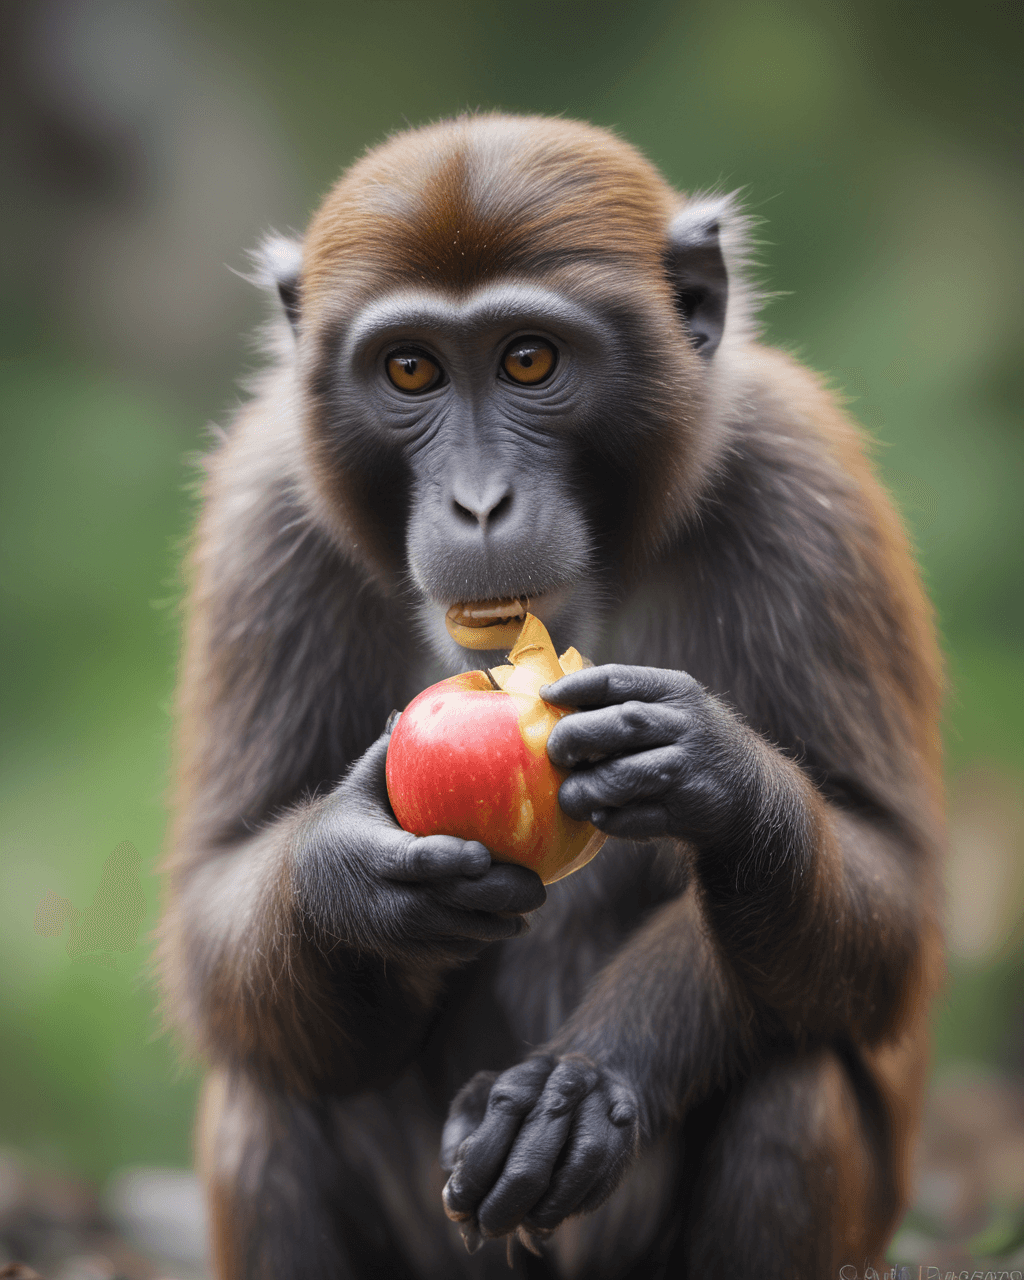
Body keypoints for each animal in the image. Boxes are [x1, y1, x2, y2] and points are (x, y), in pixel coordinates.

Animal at [158, 114, 945, 1280]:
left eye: (528, 358)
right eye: (410, 368)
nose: (480, 504)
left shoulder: (805, 485)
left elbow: (893, 895)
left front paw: (717, 782)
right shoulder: (266, 515)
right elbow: (213, 914)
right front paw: (351, 873)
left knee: (788, 1086)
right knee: (277, 1094)